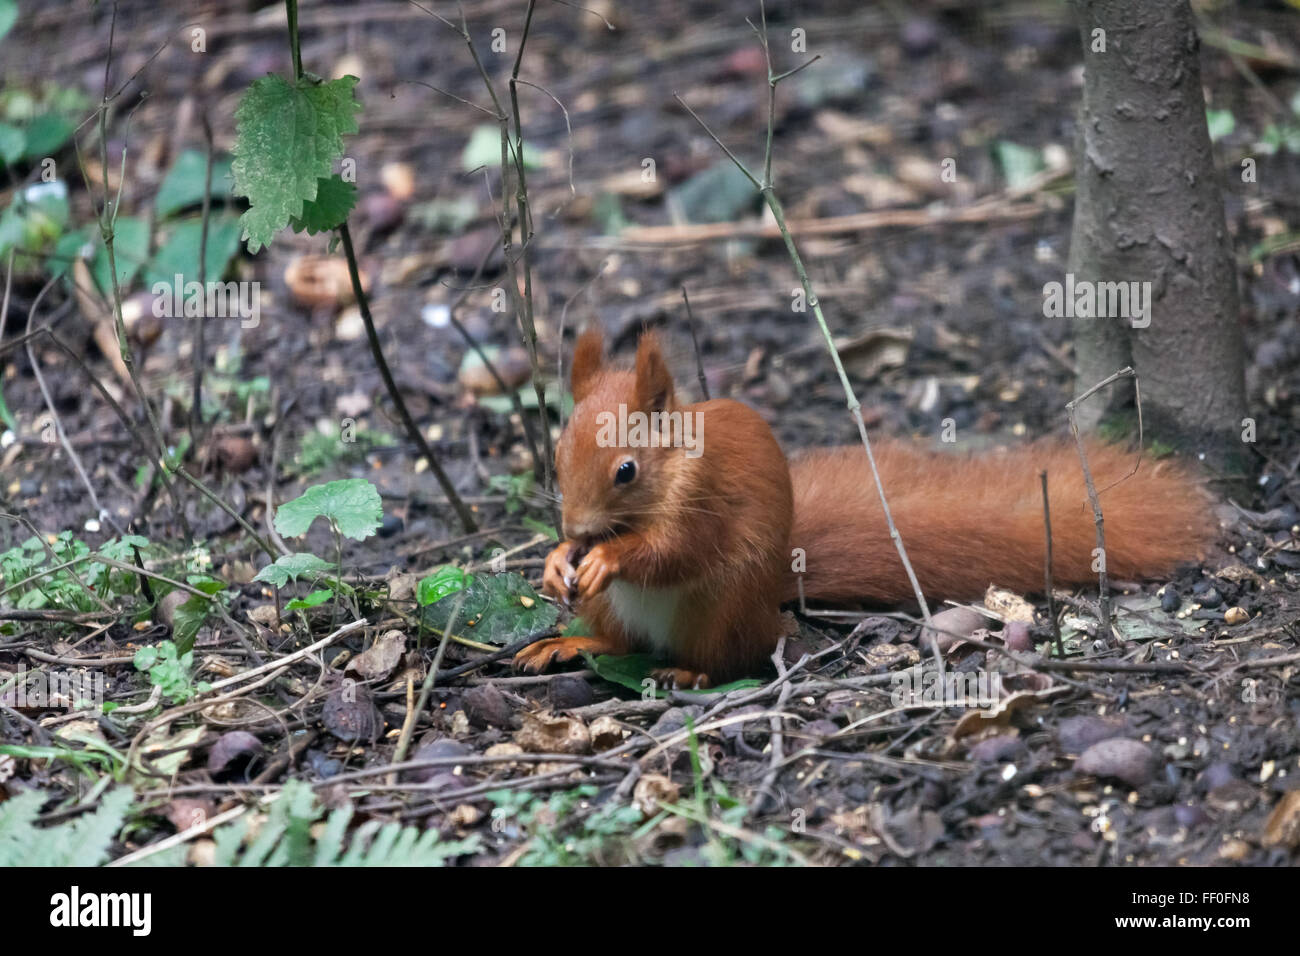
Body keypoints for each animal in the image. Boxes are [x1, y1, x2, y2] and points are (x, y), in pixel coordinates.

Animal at [513, 328, 1215, 688]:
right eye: (558, 452)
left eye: (626, 470)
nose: (577, 529)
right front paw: (556, 560)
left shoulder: (705, 496)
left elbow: (673, 551)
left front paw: (608, 557)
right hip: (622, 616)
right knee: (619, 640)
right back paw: (569, 644)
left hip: (721, 609)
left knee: (732, 658)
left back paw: (688, 675)